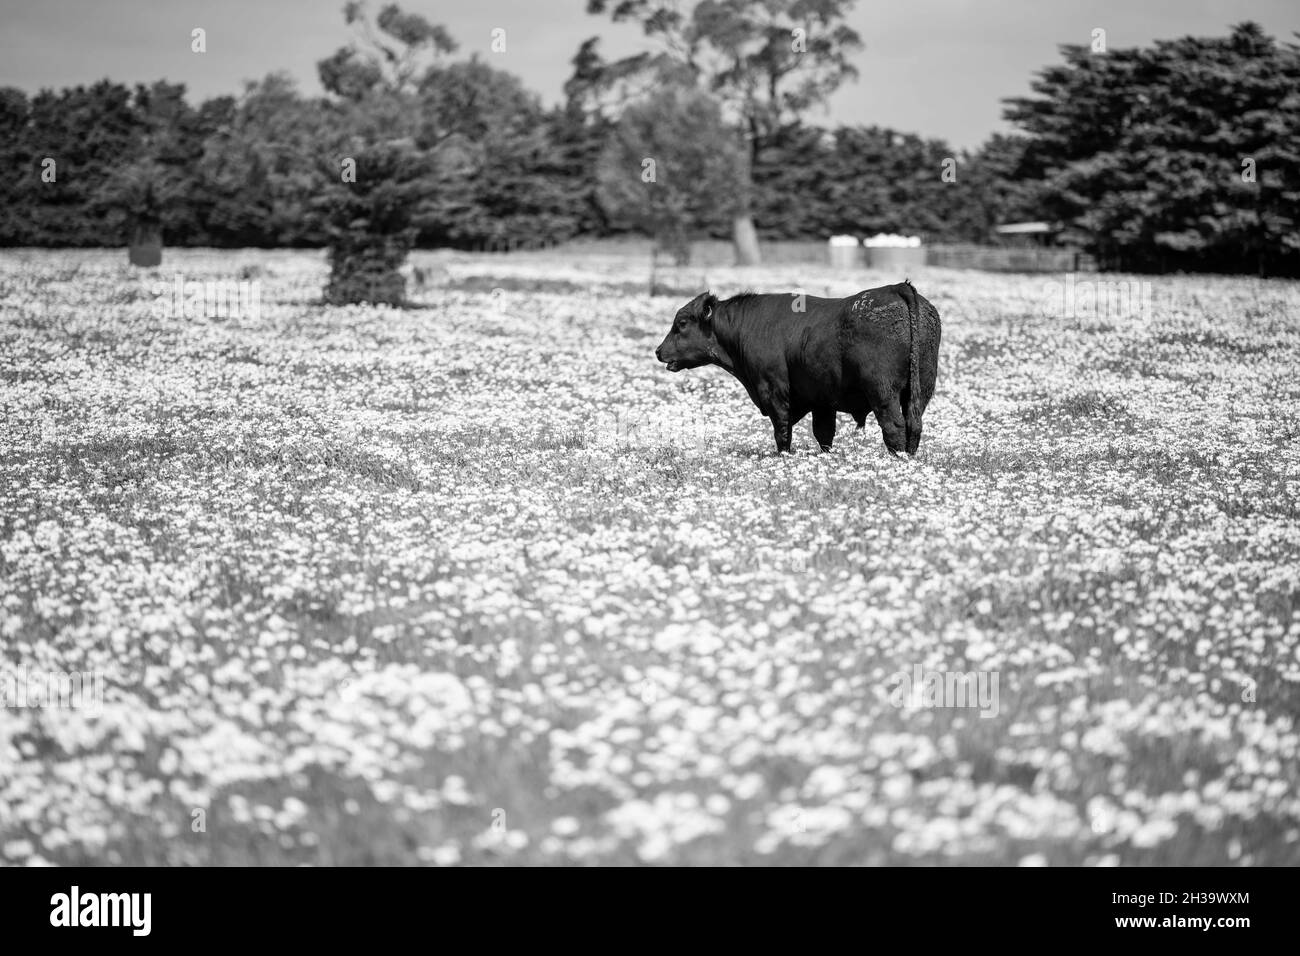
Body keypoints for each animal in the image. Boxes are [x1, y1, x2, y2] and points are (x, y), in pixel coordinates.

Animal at [655, 281, 941, 455]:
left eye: (681, 323)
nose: (658, 351)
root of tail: (896, 288)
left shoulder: (774, 390)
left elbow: (782, 432)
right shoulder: (822, 402)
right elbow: (824, 434)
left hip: (882, 391)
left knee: (894, 427)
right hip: (920, 389)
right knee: (914, 425)